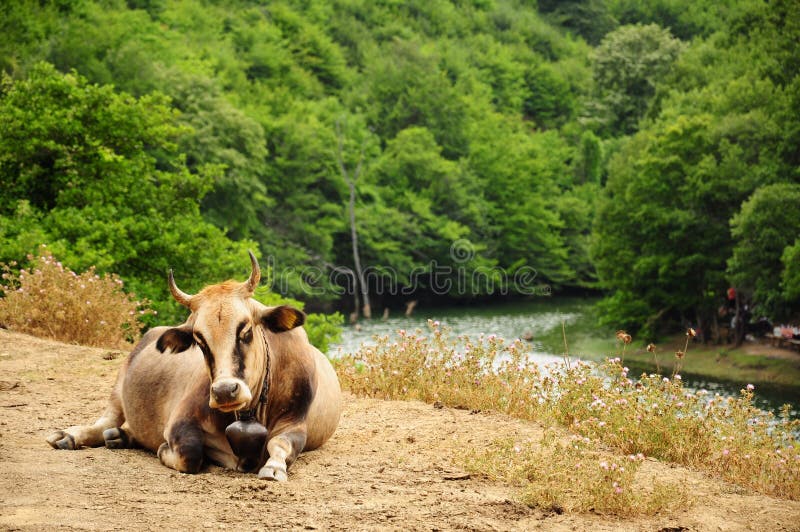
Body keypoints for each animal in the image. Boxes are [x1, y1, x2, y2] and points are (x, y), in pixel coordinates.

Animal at [46, 252, 342, 481]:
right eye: (199, 340)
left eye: (246, 330)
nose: (224, 391)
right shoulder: (180, 420)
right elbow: (190, 453)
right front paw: (163, 450)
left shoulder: (296, 424)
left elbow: (280, 444)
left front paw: (274, 468)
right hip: (119, 389)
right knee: (104, 421)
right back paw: (69, 435)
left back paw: (120, 437)